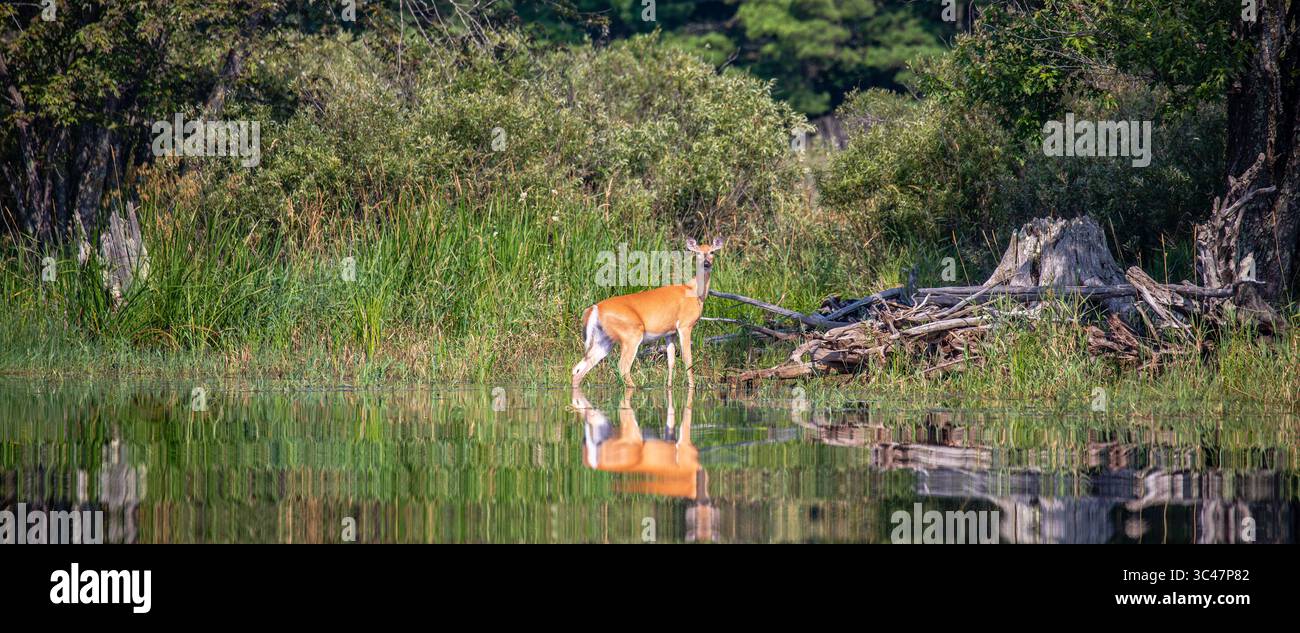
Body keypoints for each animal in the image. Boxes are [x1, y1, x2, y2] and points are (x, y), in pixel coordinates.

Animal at [571, 237, 724, 389]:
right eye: (697, 253)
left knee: (578, 368)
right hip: (631, 334)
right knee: (622, 367)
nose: (706, 263)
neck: (694, 292)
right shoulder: (685, 325)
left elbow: (671, 361)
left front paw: (669, 386)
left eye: (712, 252)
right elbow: (688, 358)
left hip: (604, 339)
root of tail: (595, 308)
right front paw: (692, 386)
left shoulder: (670, 332)